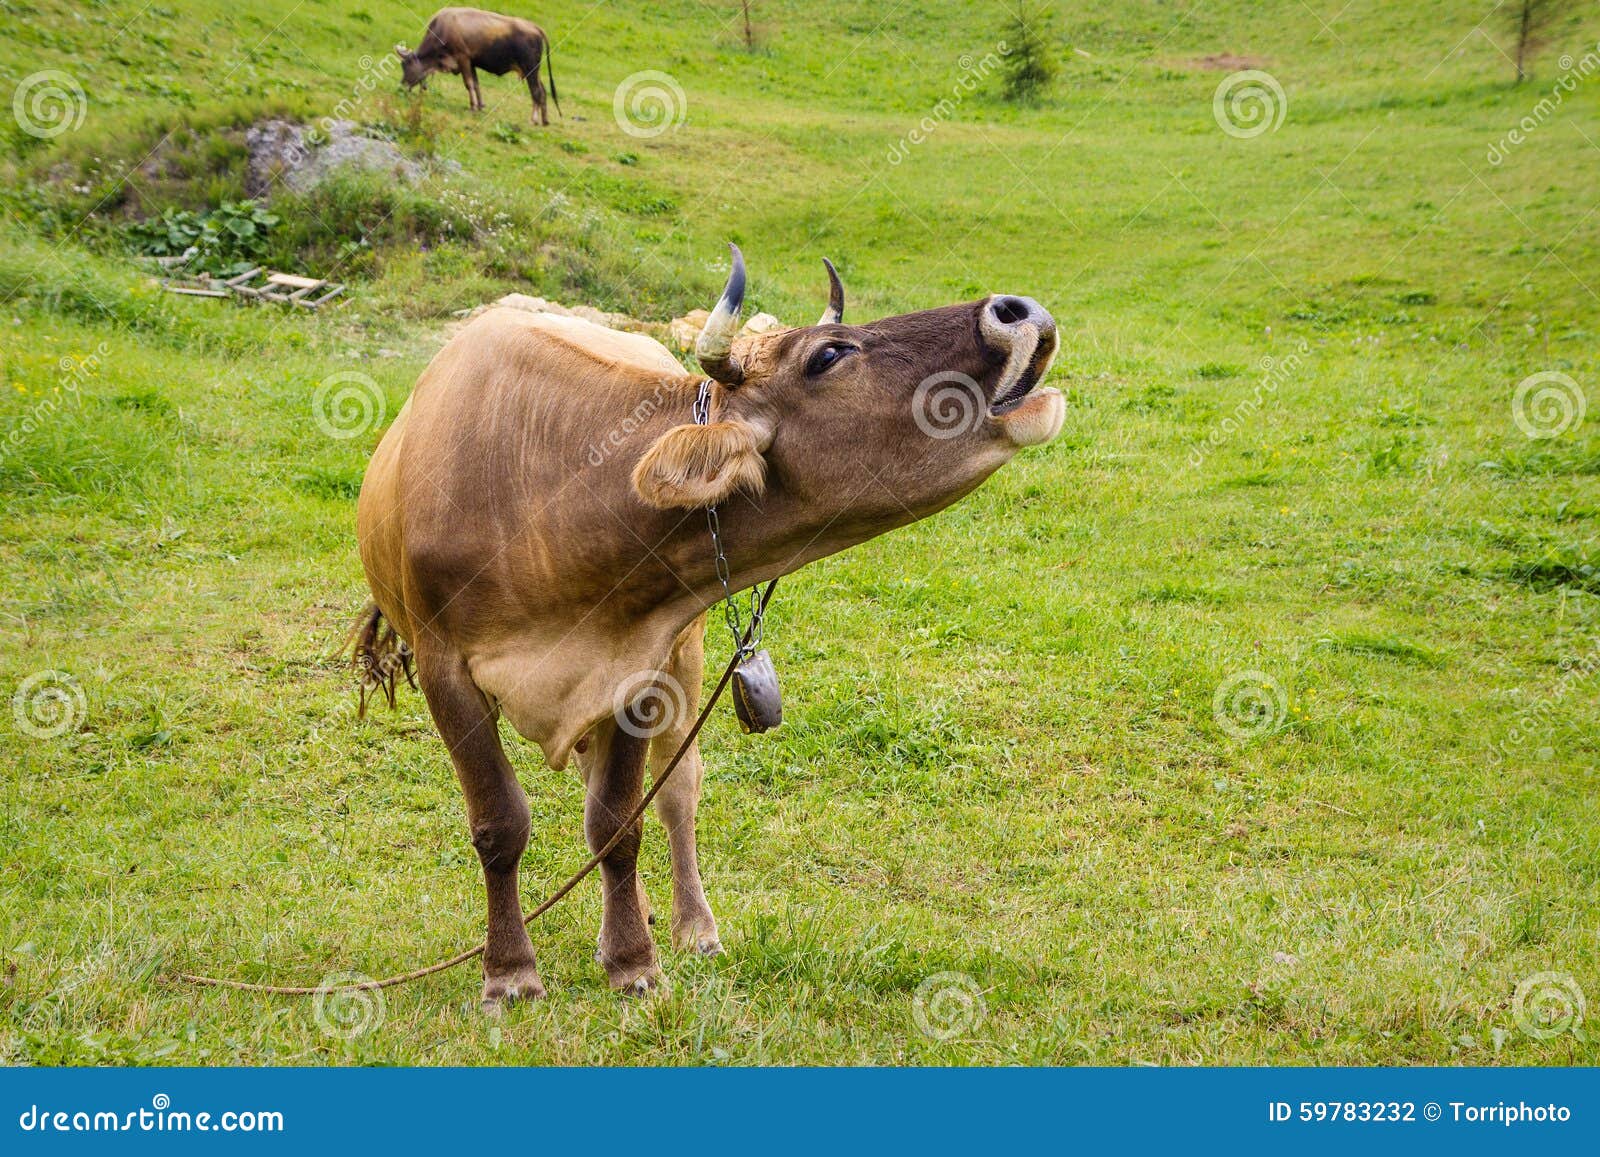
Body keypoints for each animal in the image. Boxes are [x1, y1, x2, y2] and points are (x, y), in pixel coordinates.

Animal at [354, 246, 1065, 1006]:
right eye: (828, 355)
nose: (1017, 309)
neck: (542, 502)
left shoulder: (639, 666)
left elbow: (619, 820)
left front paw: (632, 959)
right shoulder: (444, 668)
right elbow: (499, 822)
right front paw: (510, 970)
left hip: (685, 665)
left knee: (675, 791)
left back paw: (689, 925)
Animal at [395, 7, 560, 126]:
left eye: (406, 64)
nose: (402, 86)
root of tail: (535, 27)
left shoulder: (463, 58)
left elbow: (468, 84)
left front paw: (473, 107)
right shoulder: (472, 62)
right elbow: (476, 83)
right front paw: (480, 105)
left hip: (530, 68)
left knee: (536, 92)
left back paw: (533, 120)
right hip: (533, 71)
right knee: (543, 91)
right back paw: (545, 120)